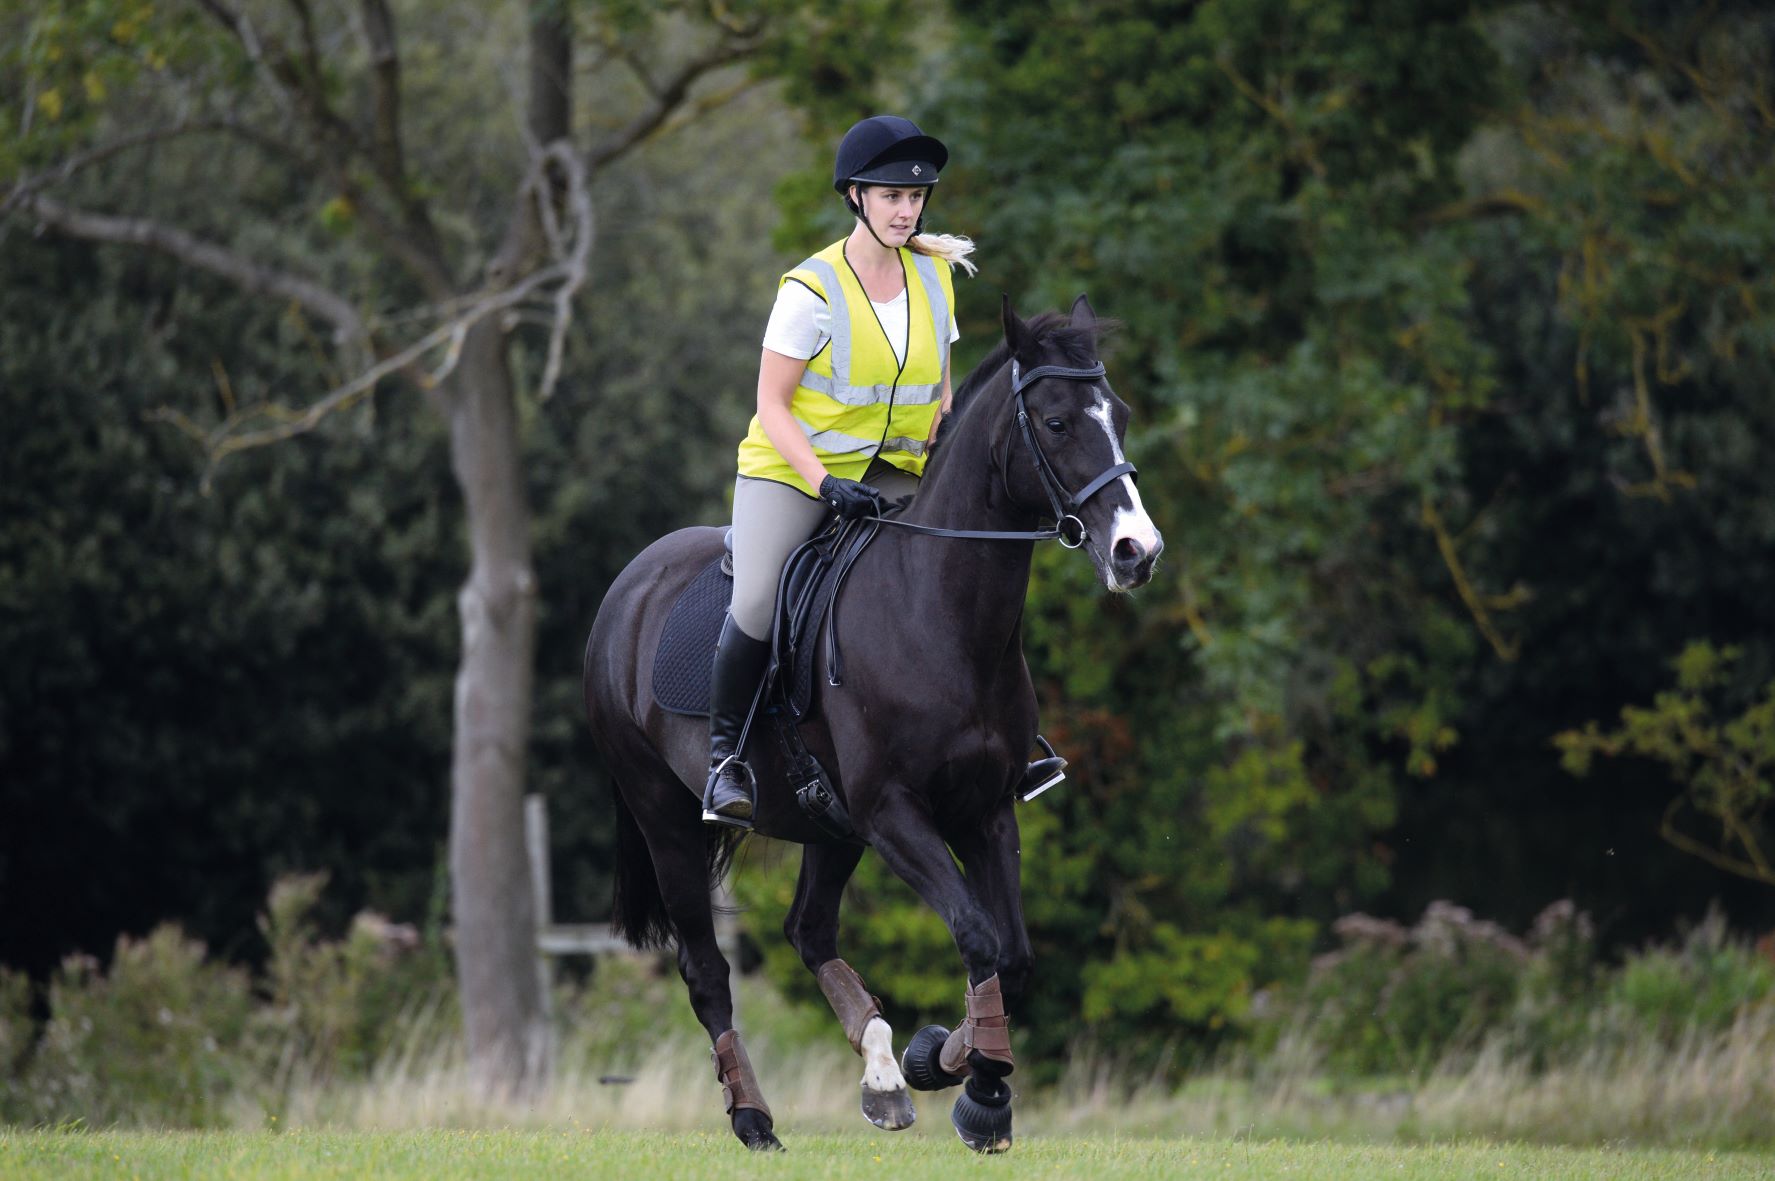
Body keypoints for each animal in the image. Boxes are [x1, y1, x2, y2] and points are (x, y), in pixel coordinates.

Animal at [581, 294, 1162, 1152]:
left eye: (1116, 415)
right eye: (1056, 422)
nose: (1136, 551)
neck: (941, 615)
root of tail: (627, 586)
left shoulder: (984, 810)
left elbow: (1012, 955)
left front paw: (944, 1060)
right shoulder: (893, 811)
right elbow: (976, 935)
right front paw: (980, 1090)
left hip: (828, 825)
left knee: (808, 931)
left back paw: (884, 1074)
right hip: (670, 821)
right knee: (708, 971)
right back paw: (753, 1117)